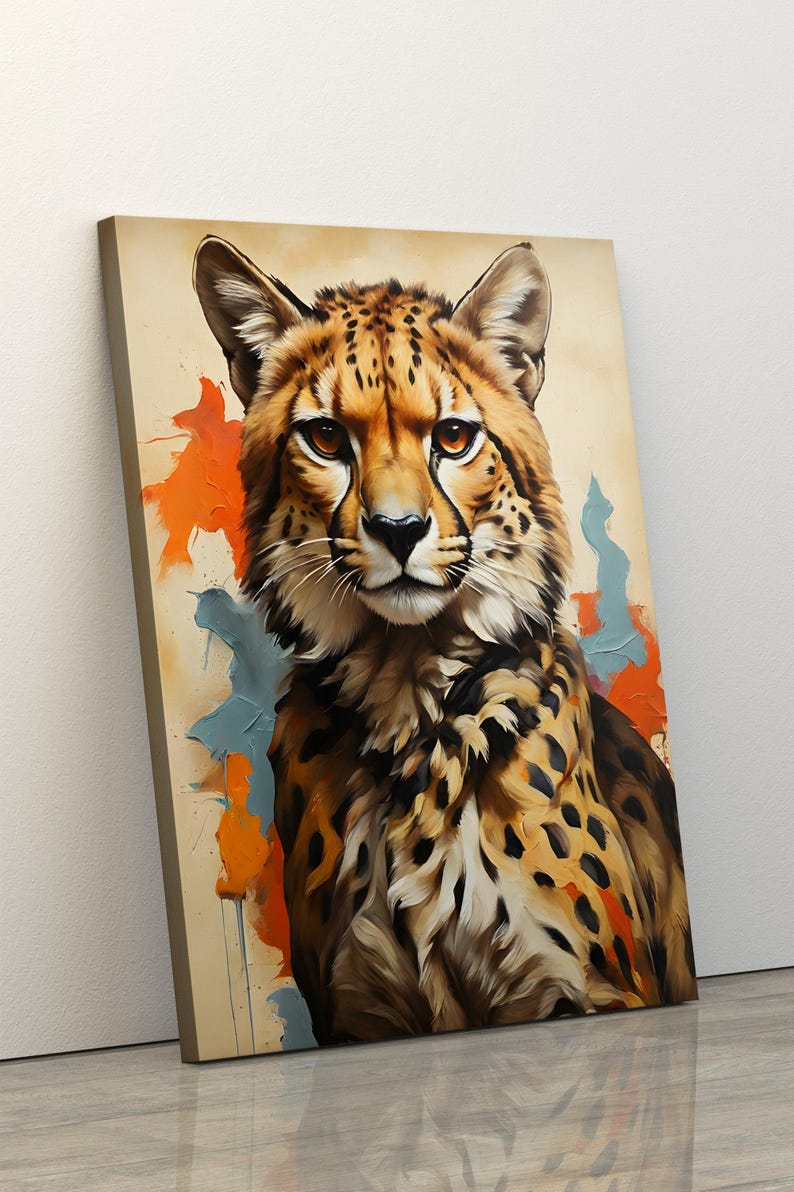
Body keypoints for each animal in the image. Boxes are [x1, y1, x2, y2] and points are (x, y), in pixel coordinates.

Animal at [194, 234, 697, 1045]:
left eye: (453, 438)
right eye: (326, 437)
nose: (398, 530)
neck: (408, 701)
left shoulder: (584, 995)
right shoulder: (359, 1010)